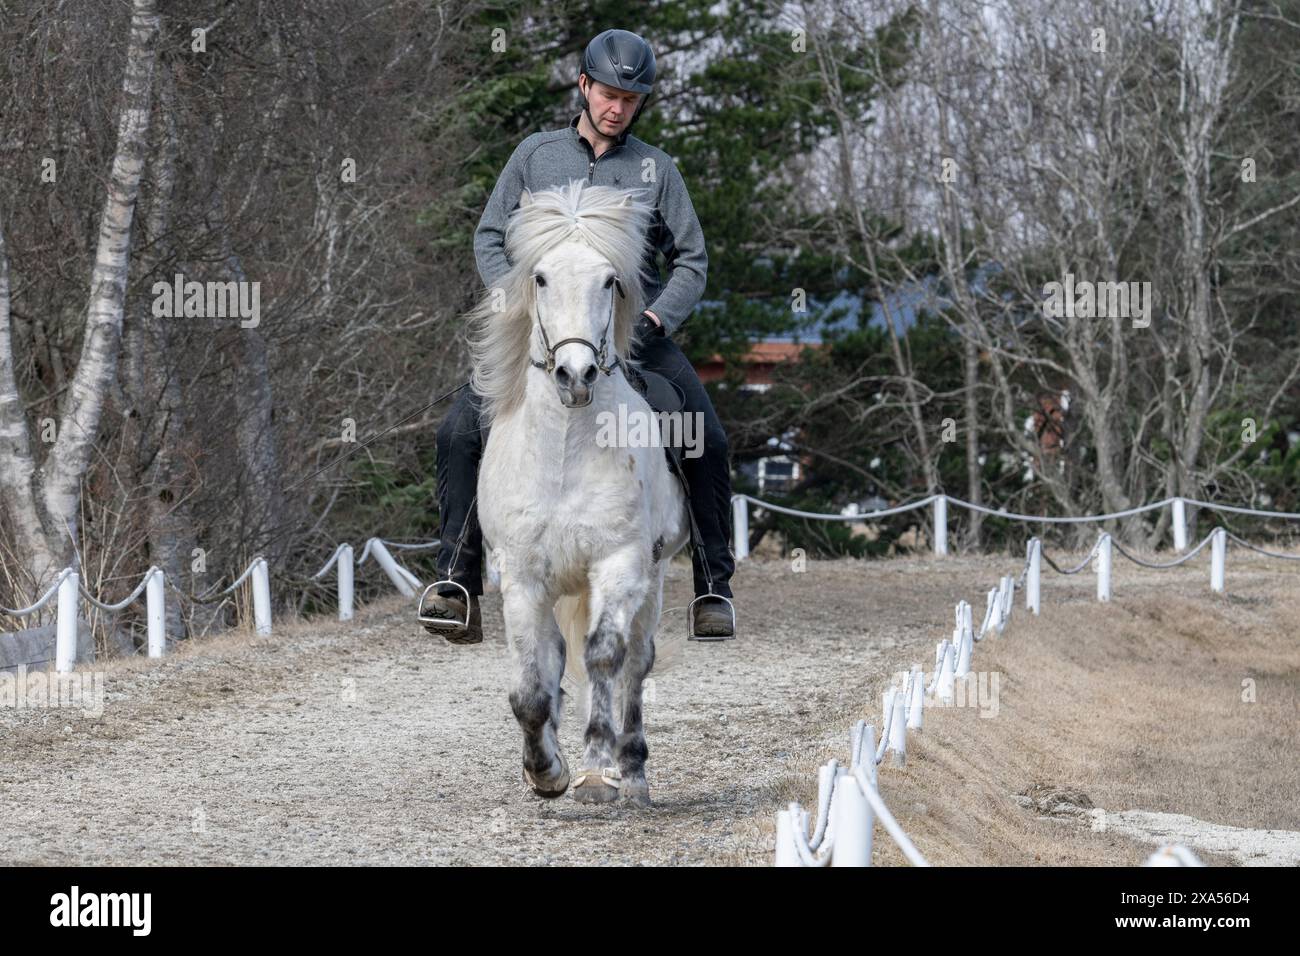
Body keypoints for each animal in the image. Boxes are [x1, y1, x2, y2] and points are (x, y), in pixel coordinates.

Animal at [465, 179, 690, 806]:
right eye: (540, 277)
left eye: (610, 280)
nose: (575, 374)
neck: (566, 450)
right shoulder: (522, 576)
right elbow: (530, 684)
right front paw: (544, 771)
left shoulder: (619, 562)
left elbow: (605, 655)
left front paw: (593, 766)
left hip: (652, 575)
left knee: (634, 661)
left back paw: (630, 771)